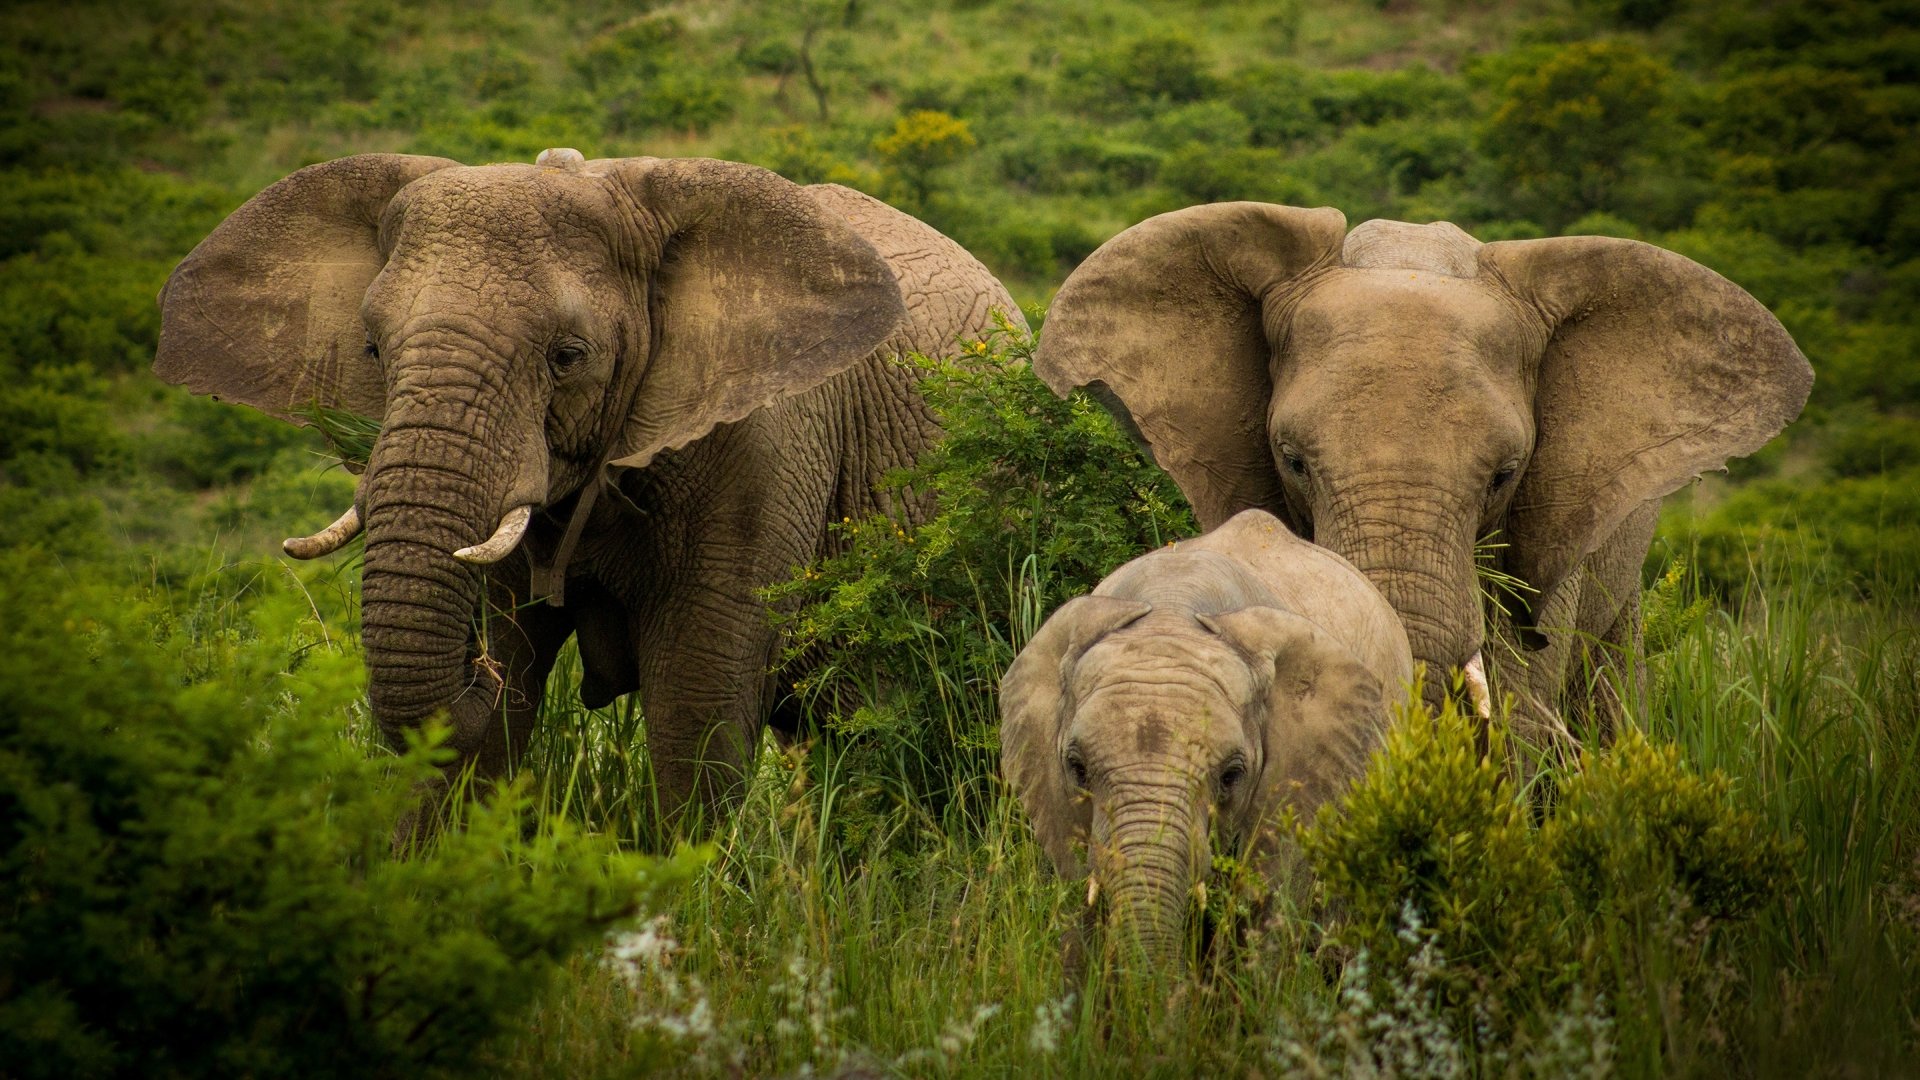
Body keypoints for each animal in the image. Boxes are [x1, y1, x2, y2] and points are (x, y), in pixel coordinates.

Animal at [154, 148, 1021, 835]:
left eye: (567, 356)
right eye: (371, 347)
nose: (474, 662)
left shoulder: (769, 443)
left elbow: (697, 699)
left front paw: (693, 902)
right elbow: (501, 712)